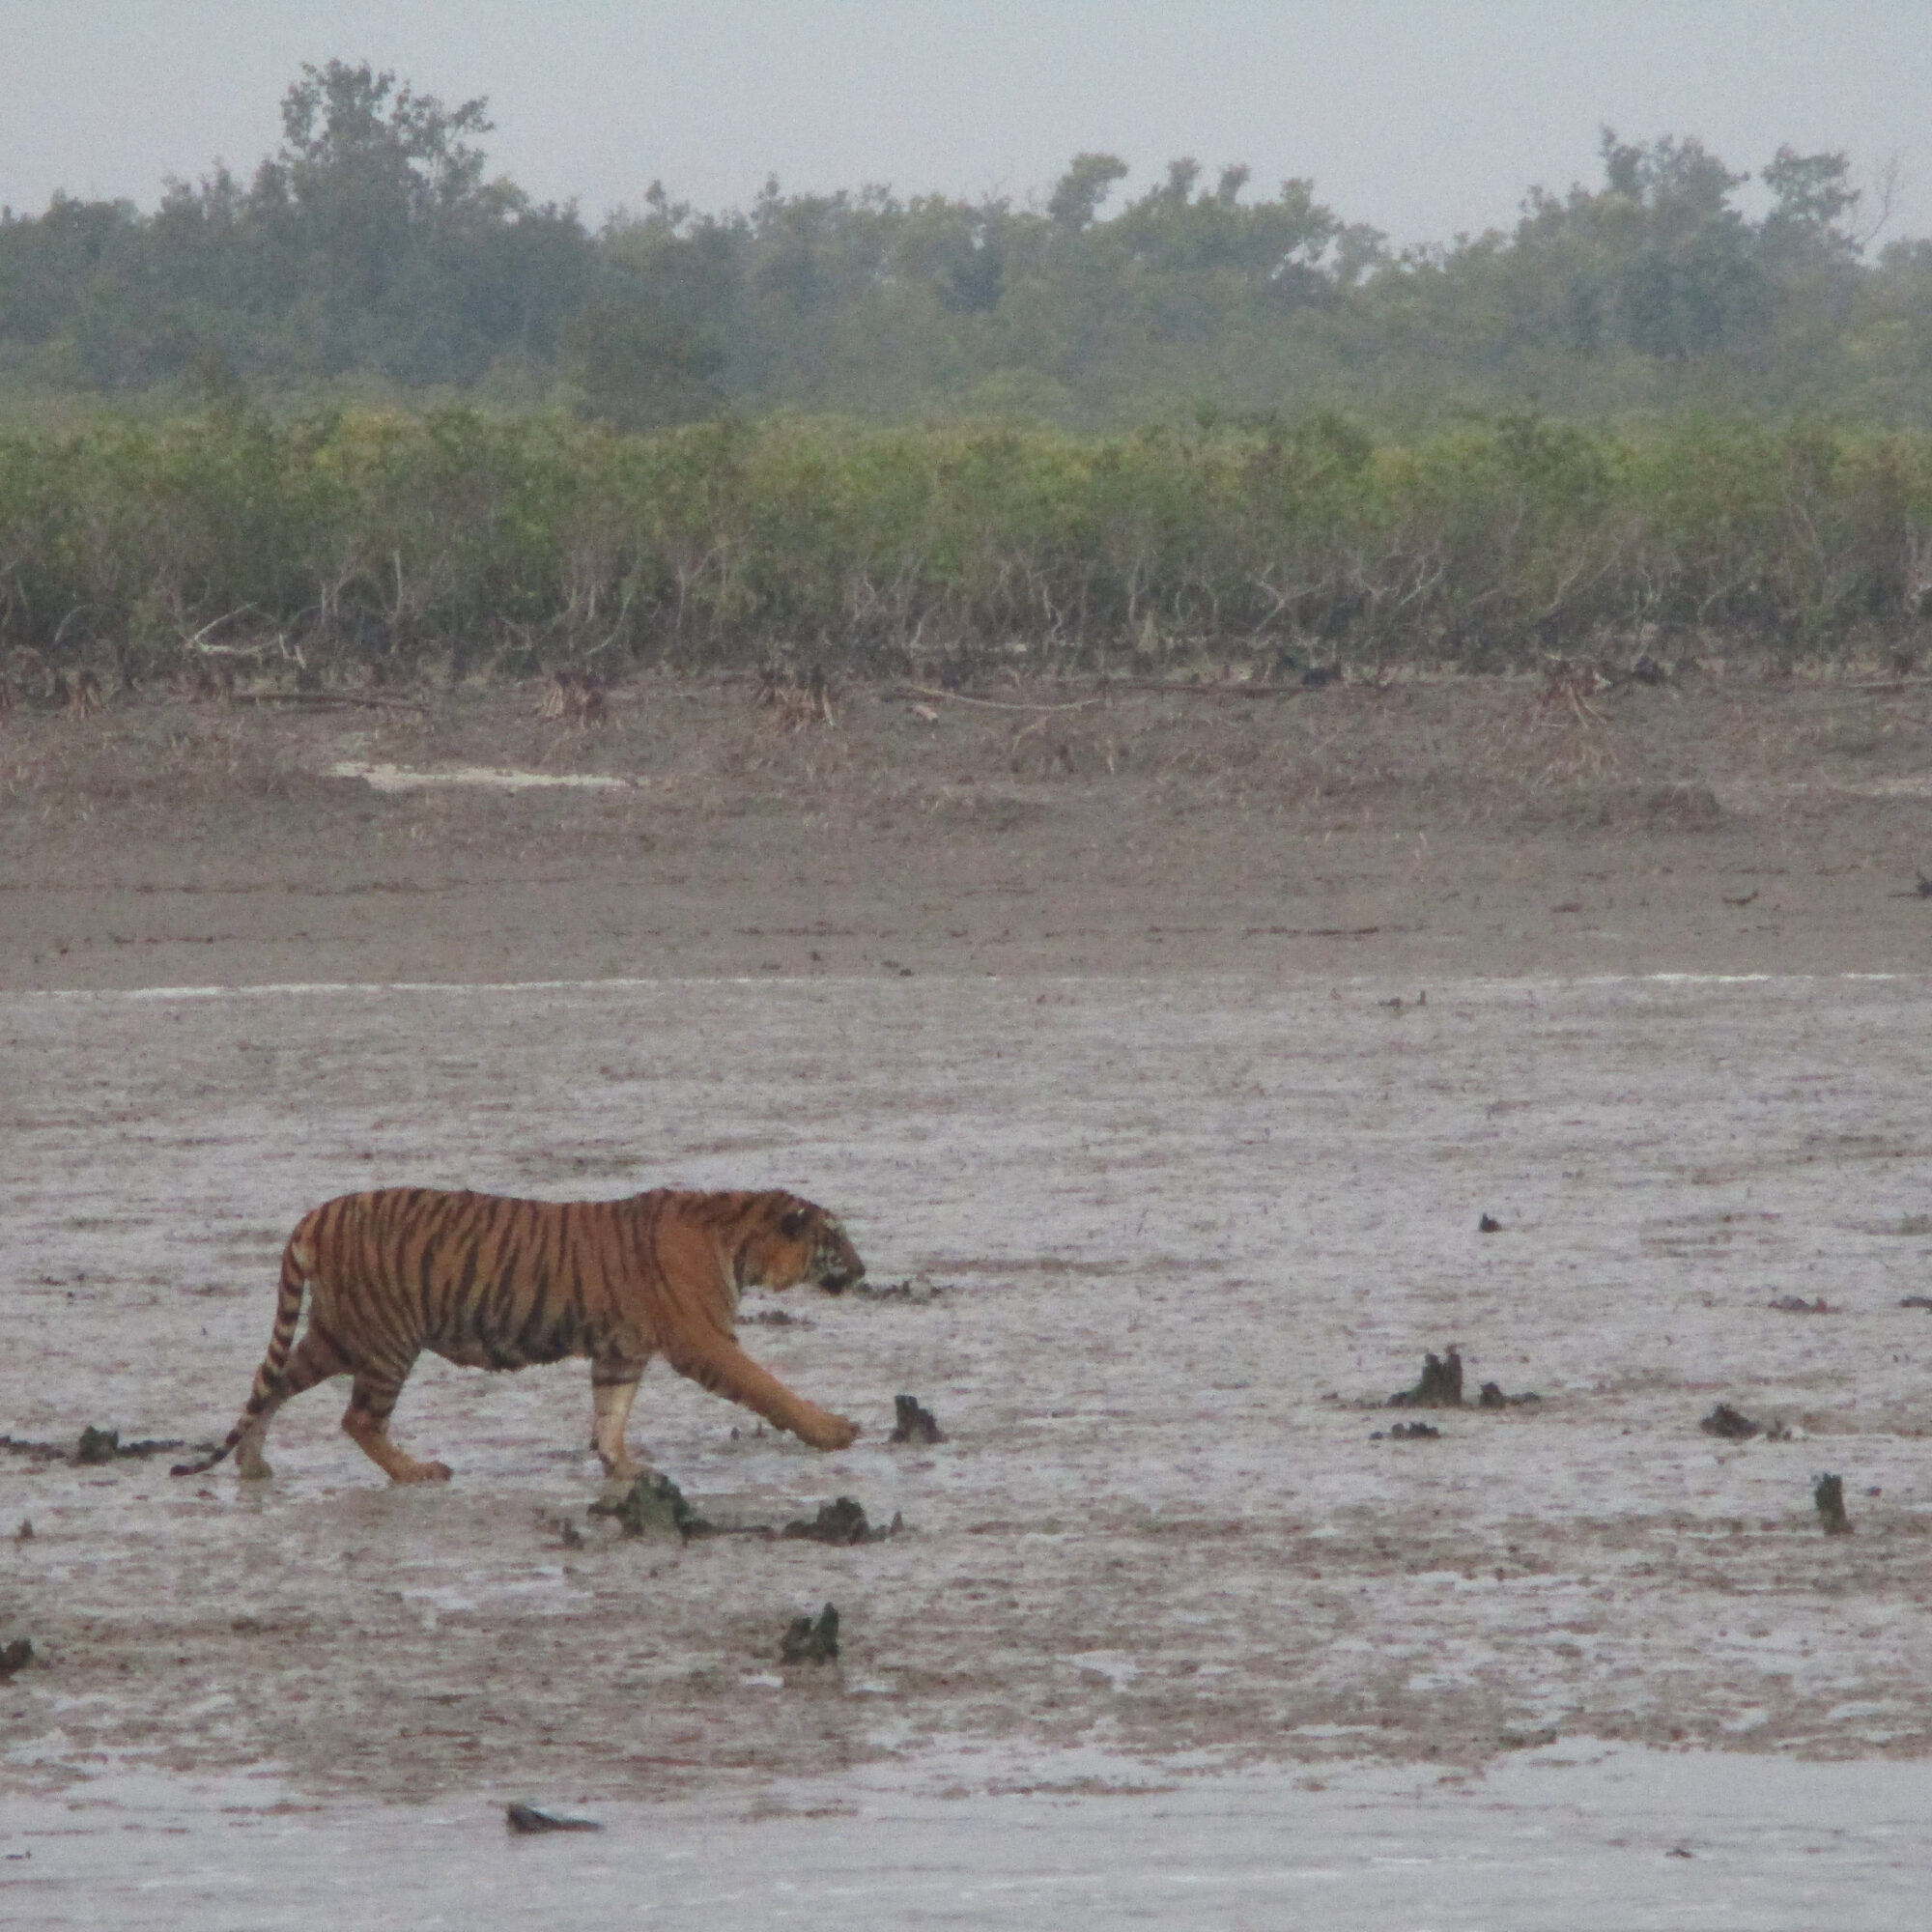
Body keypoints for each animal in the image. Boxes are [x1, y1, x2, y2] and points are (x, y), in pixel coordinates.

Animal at [171, 1187, 865, 1485]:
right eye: (838, 1239)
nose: (863, 1271)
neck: (739, 1240)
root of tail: (317, 1214)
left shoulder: (621, 1351)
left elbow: (611, 1412)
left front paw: (623, 1465)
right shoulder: (705, 1341)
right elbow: (770, 1389)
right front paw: (834, 1431)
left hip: (337, 1332)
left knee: (271, 1386)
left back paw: (253, 1462)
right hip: (386, 1340)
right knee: (358, 1419)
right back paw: (418, 1471)